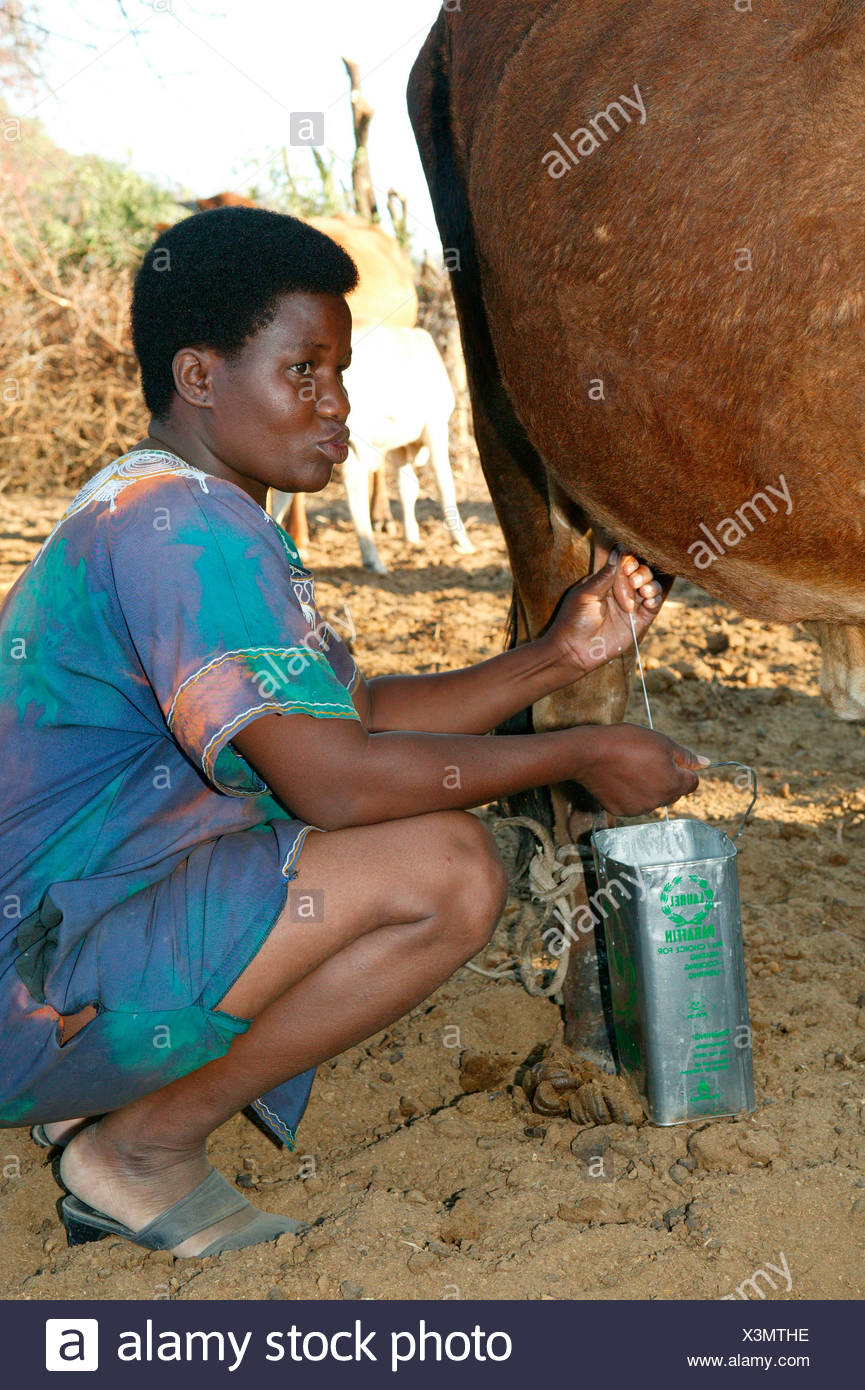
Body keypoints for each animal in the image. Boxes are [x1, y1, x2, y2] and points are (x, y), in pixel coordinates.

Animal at [269, 322, 474, 572]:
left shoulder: (399, 446)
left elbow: (408, 488)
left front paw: (411, 535)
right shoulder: (435, 426)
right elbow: (444, 483)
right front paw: (461, 540)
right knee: (354, 485)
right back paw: (371, 557)